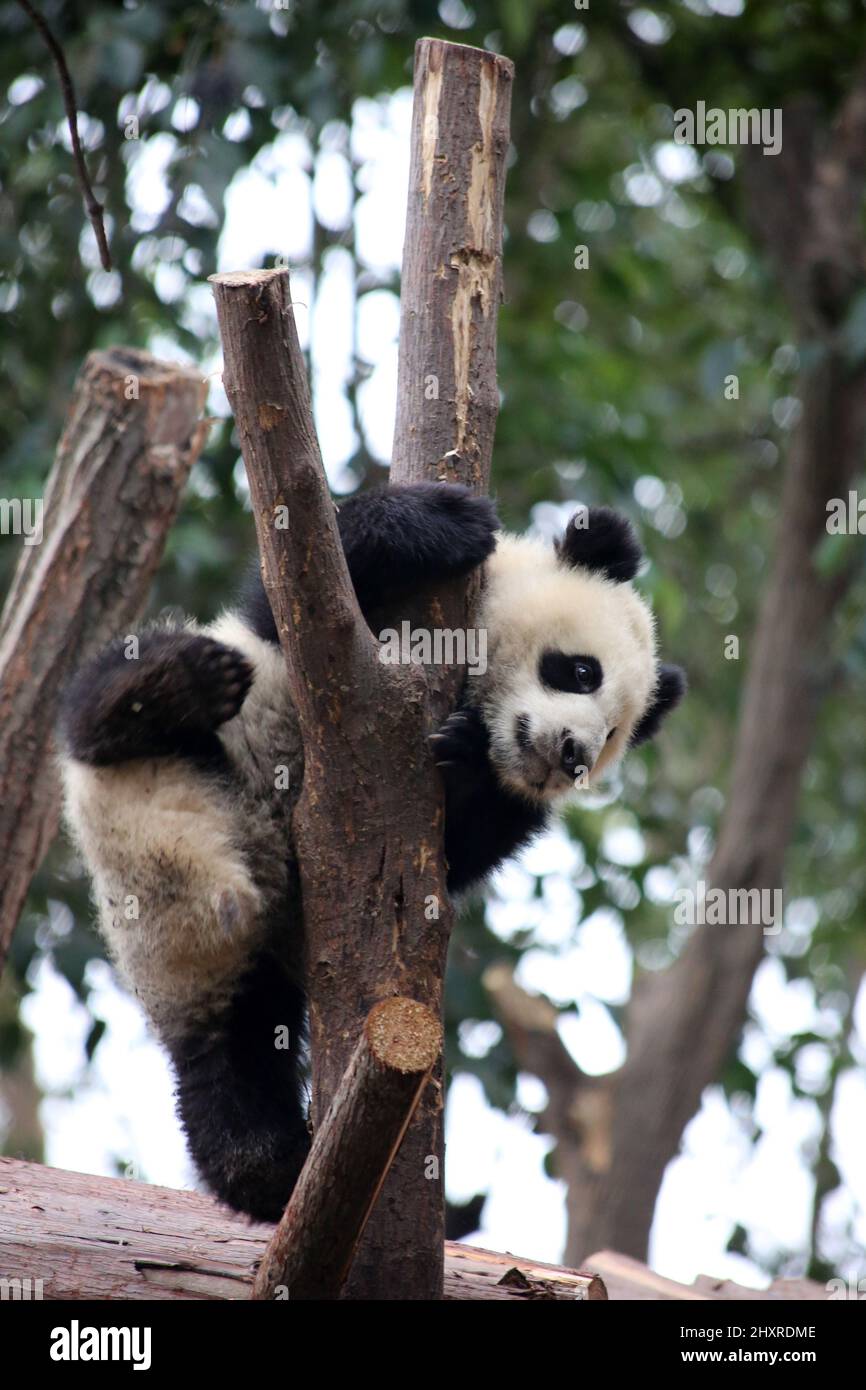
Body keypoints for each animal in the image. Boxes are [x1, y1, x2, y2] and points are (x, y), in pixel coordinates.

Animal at [57, 482, 685, 1222]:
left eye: (613, 736)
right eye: (582, 671)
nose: (570, 756)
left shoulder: (498, 808)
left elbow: (469, 835)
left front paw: (467, 758)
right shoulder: (349, 642)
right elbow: (298, 595)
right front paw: (447, 519)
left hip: (258, 959)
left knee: (234, 1061)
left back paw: (272, 1168)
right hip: (149, 779)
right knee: (103, 701)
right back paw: (165, 688)